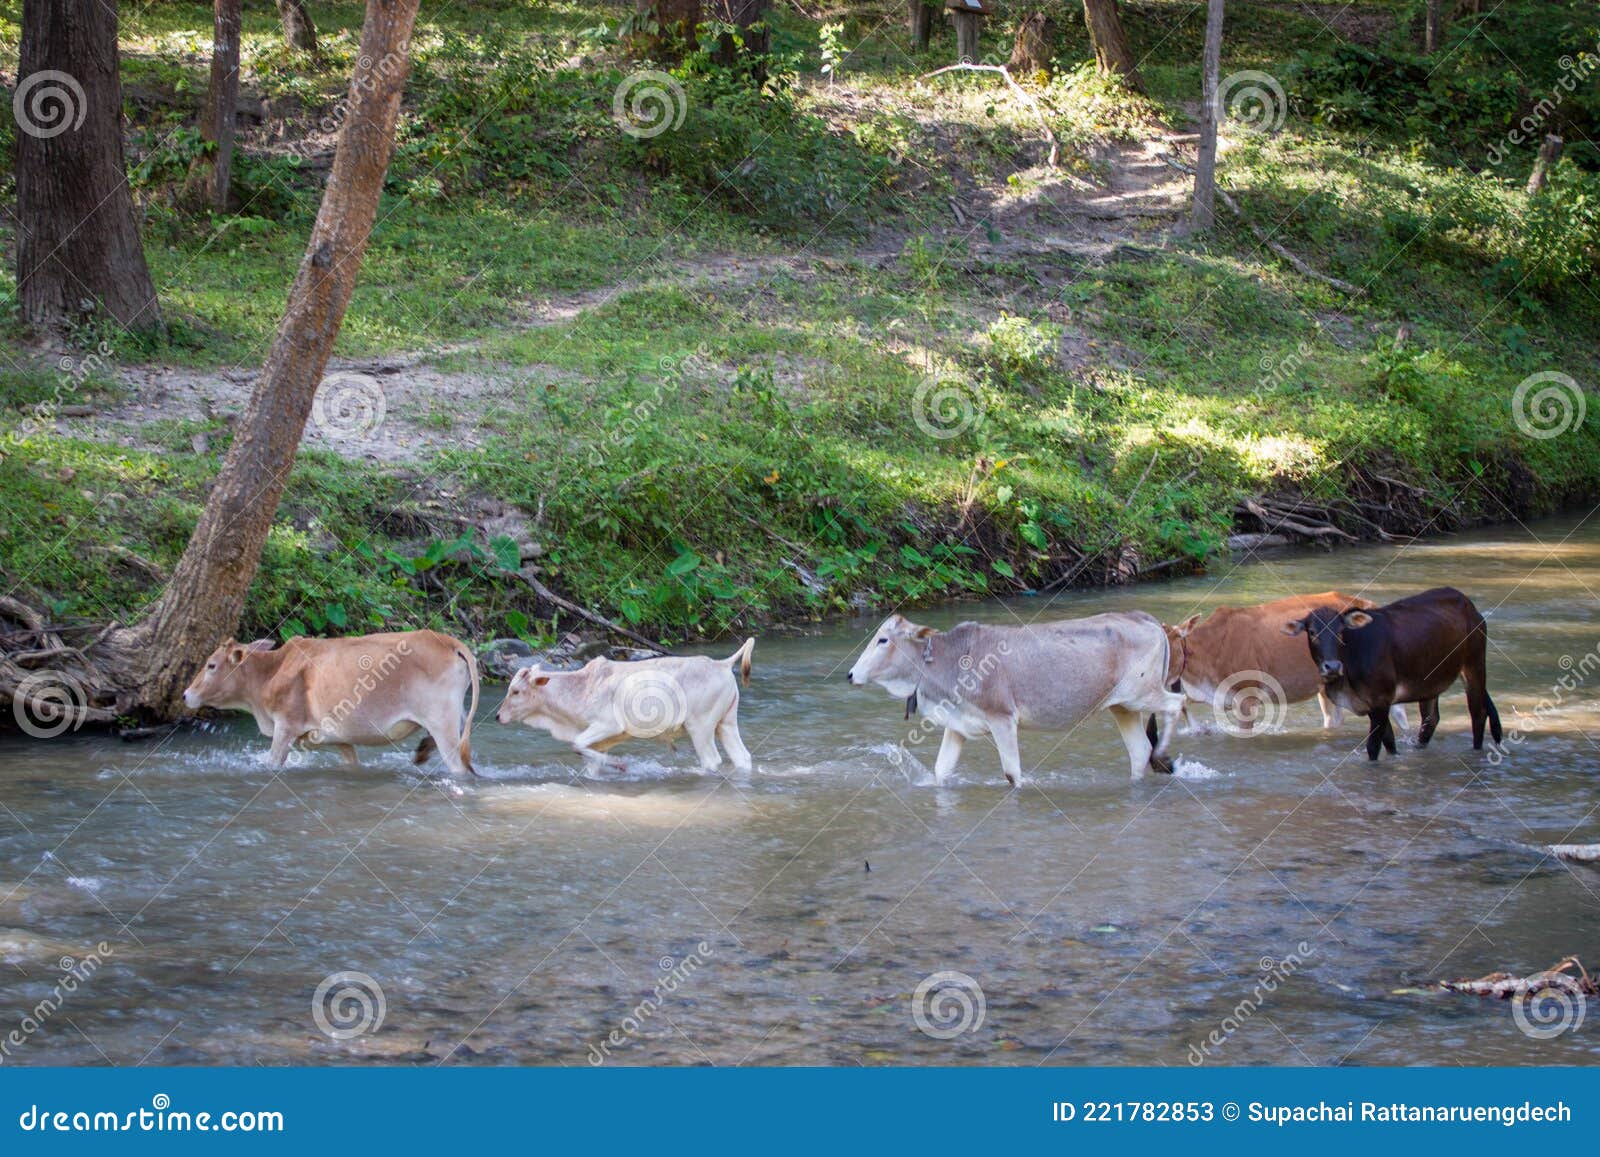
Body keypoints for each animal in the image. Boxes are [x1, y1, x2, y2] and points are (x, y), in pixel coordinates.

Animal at [182, 631, 480, 775]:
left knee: (458, 767)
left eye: (211, 665)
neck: (271, 672)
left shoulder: (285, 727)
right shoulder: (340, 740)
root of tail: (448, 641)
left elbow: (272, 762)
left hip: (443, 725)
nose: (185, 694)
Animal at [495, 639, 756, 773]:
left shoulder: (608, 725)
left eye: (516, 691)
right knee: (742, 757)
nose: (498, 716)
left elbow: (577, 744)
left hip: (700, 727)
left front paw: (620, 764)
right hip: (726, 724)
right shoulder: (600, 741)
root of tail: (721, 664)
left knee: (711, 760)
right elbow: (588, 760)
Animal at [845, 612, 1185, 785]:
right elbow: (941, 770)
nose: (850, 674)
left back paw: (1163, 756)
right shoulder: (957, 725)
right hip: (1122, 706)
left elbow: (1012, 773)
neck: (950, 660)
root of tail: (1143, 618)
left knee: (1177, 704)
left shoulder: (1002, 719)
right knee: (1139, 751)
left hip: (1144, 694)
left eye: (883, 640)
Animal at [1164, 591, 1408, 734]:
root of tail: (1369, 603)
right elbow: (1183, 703)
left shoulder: (1246, 697)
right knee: (1334, 719)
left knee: (1399, 713)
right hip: (1326, 685)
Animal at [1283, 586, 1503, 760]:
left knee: (1478, 714)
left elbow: (1373, 747)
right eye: (1312, 632)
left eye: (1340, 631)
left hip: (1473, 667)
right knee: (1430, 720)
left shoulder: (1381, 700)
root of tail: (1467, 603)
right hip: (1431, 683)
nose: (1332, 666)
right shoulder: (1373, 706)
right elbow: (1389, 742)